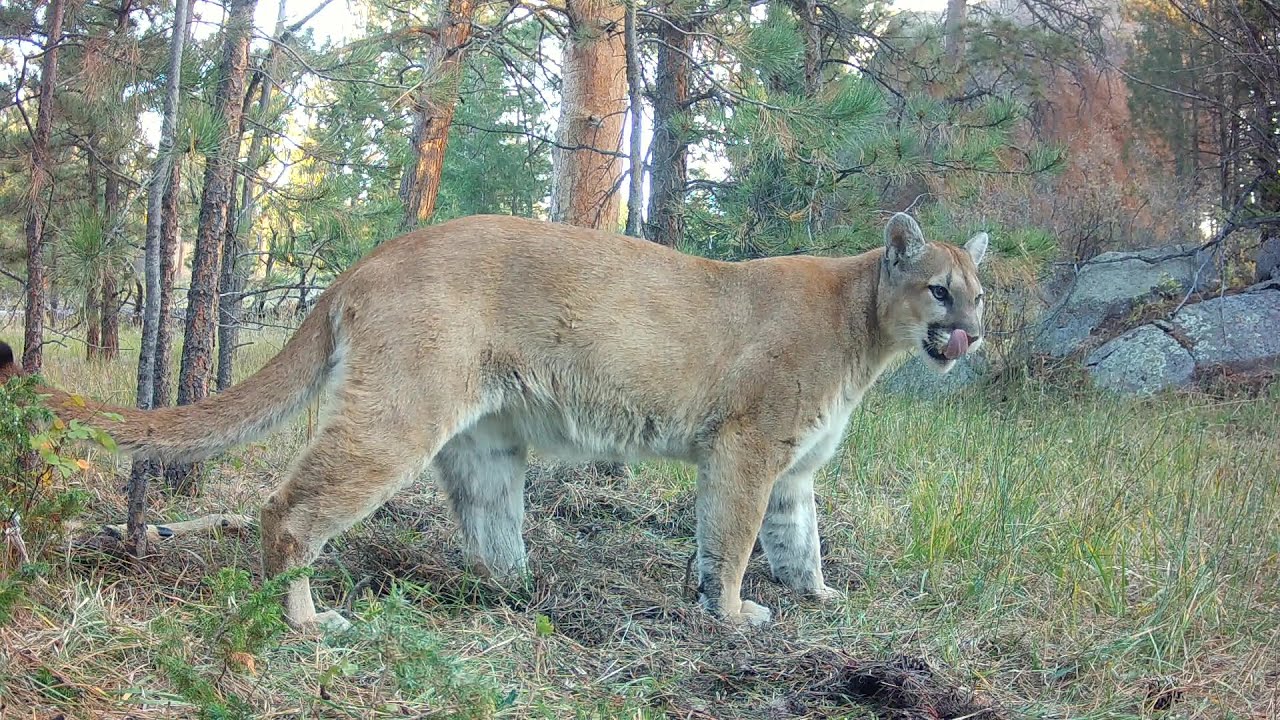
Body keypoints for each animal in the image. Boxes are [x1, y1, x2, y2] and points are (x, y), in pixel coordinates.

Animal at [0, 211, 988, 631]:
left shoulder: (796, 470)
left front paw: (817, 596)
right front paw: (737, 612)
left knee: (487, 529)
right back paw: (306, 622)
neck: (867, 334)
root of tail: (371, 257)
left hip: (487, 444)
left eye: (982, 292)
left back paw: (521, 591)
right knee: (288, 510)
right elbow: (736, 537)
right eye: (939, 290)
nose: (973, 335)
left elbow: (798, 538)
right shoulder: (747, 446)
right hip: (399, 412)